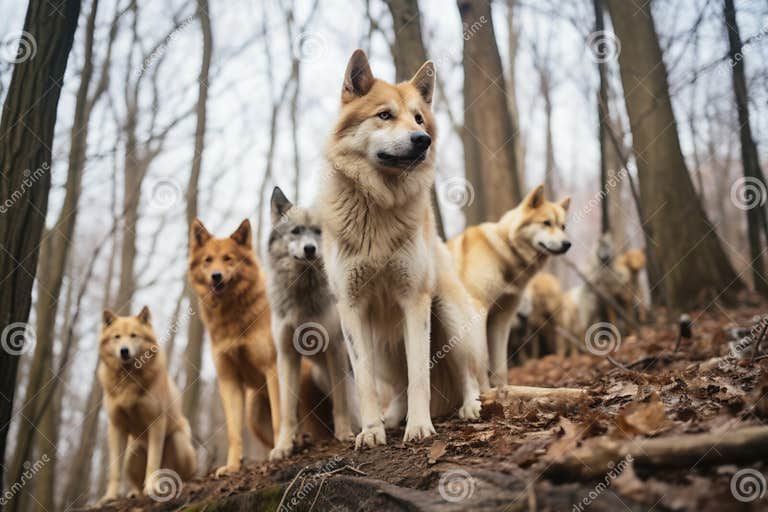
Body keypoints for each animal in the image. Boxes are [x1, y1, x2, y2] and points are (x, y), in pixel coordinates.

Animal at [98, 307, 196, 503]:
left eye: (134, 335)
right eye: (117, 337)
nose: (124, 351)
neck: (128, 379)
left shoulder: (156, 422)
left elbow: (153, 462)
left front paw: (152, 487)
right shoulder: (116, 426)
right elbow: (114, 470)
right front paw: (109, 497)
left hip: (178, 440)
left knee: (180, 476)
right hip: (132, 450)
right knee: (136, 484)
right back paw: (136, 493)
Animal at [188, 219, 280, 476]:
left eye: (228, 258)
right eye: (208, 260)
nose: (216, 276)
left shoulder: (272, 367)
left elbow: (281, 418)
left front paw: (283, 450)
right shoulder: (229, 380)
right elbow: (233, 432)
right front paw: (231, 466)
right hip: (253, 414)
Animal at [266, 186, 358, 460]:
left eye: (318, 231)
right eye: (296, 231)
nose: (310, 249)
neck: (303, 295)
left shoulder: (335, 348)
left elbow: (341, 402)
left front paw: (344, 434)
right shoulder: (287, 355)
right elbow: (287, 410)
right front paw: (284, 446)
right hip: (320, 375)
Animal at [318, 49, 485, 449]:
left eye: (419, 118)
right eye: (385, 115)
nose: (422, 139)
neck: (378, 208)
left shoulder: (415, 300)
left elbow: (420, 375)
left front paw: (420, 427)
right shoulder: (352, 308)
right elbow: (365, 383)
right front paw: (371, 432)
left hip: (450, 317)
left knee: (468, 373)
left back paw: (469, 405)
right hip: (382, 348)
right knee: (395, 387)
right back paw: (392, 416)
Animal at [447, 185, 571, 387]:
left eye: (563, 226)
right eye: (546, 223)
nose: (567, 244)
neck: (503, 250)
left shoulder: (501, 320)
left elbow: (500, 367)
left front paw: (503, 392)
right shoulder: (478, 310)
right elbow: (481, 363)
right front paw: (485, 392)